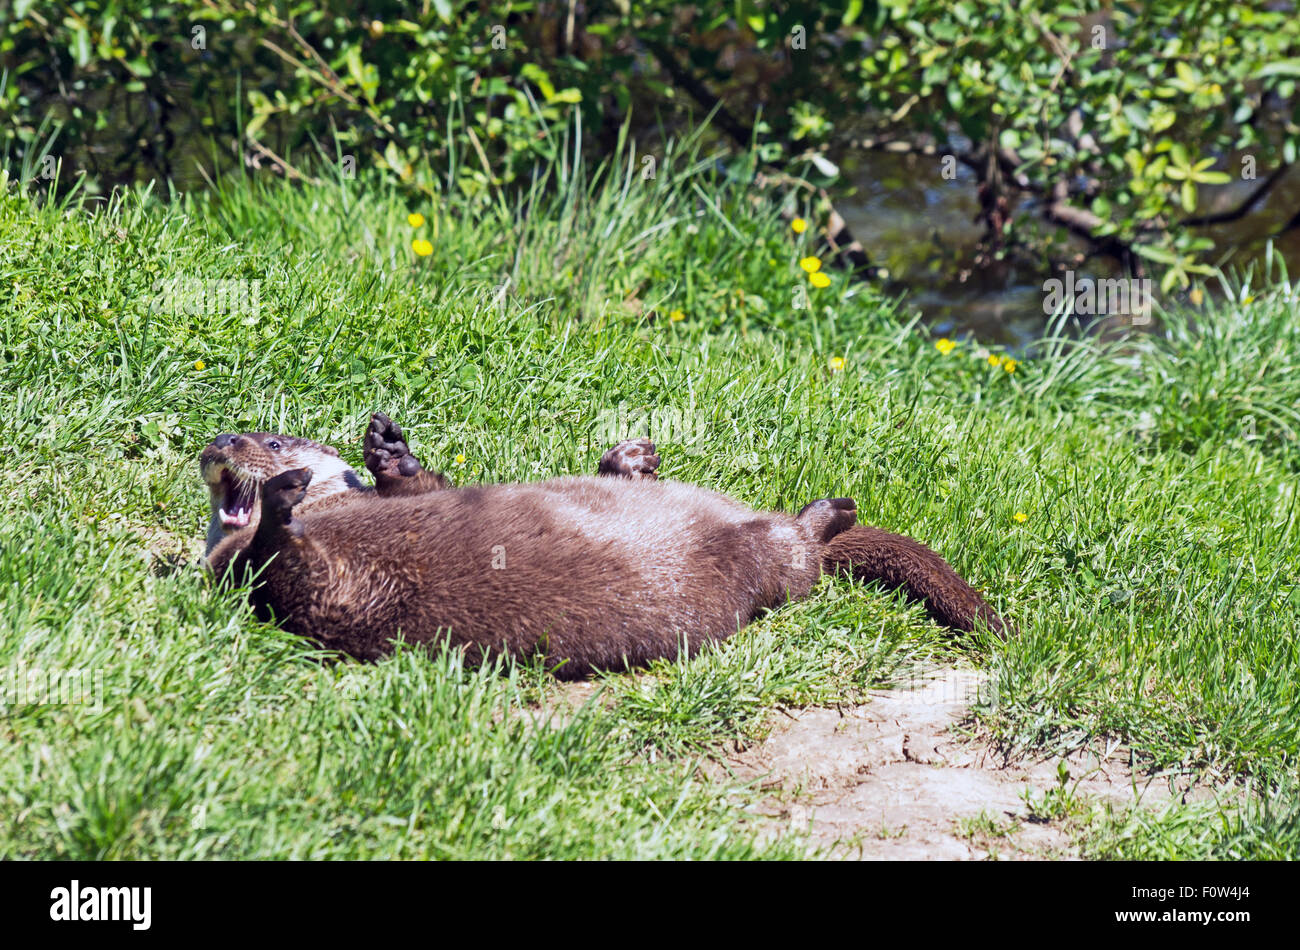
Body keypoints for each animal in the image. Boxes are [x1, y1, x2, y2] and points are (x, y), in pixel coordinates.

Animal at [203, 414, 1007, 678]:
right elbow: (286, 571)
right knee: (798, 552)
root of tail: (746, 517)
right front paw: (279, 507)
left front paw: (388, 447)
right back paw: (828, 510)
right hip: (771, 566)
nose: (218, 445)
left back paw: (632, 460)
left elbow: (417, 484)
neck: (339, 518)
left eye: (269, 438)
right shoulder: (322, 591)